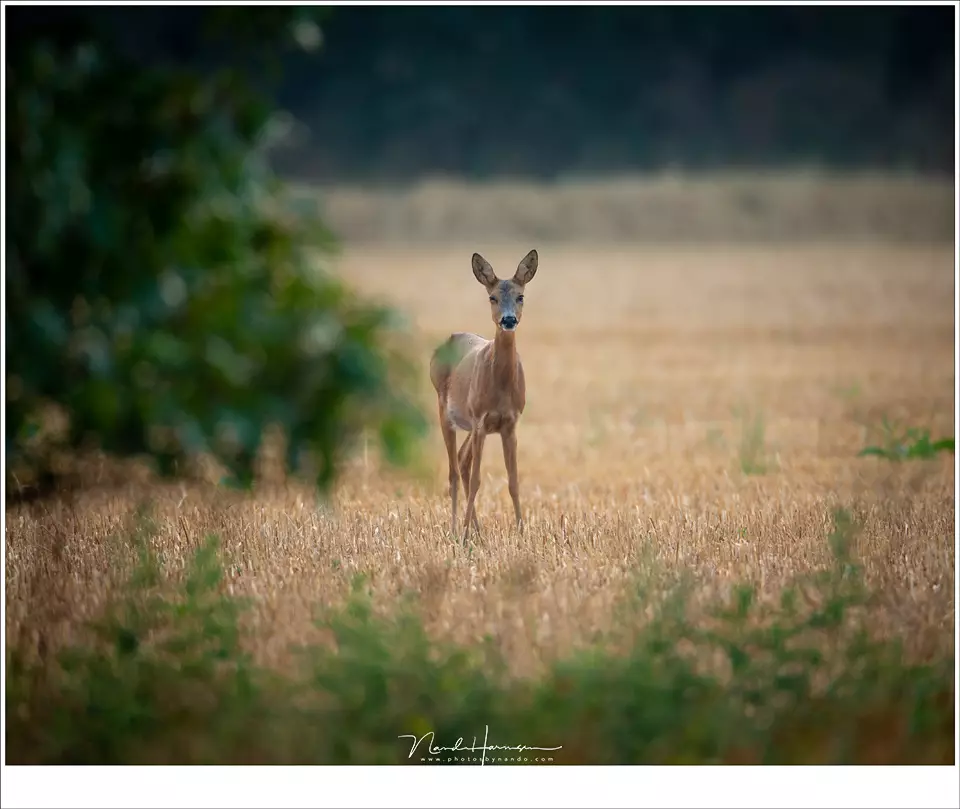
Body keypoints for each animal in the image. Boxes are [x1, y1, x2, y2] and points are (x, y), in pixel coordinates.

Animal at [430, 246, 540, 536]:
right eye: (492, 297)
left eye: (521, 296)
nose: (509, 320)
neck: (500, 386)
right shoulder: (480, 419)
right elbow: (478, 480)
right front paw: (464, 533)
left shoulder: (509, 423)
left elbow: (513, 480)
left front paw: (521, 532)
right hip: (446, 410)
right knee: (454, 471)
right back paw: (457, 529)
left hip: (472, 424)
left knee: (462, 461)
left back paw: (476, 530)